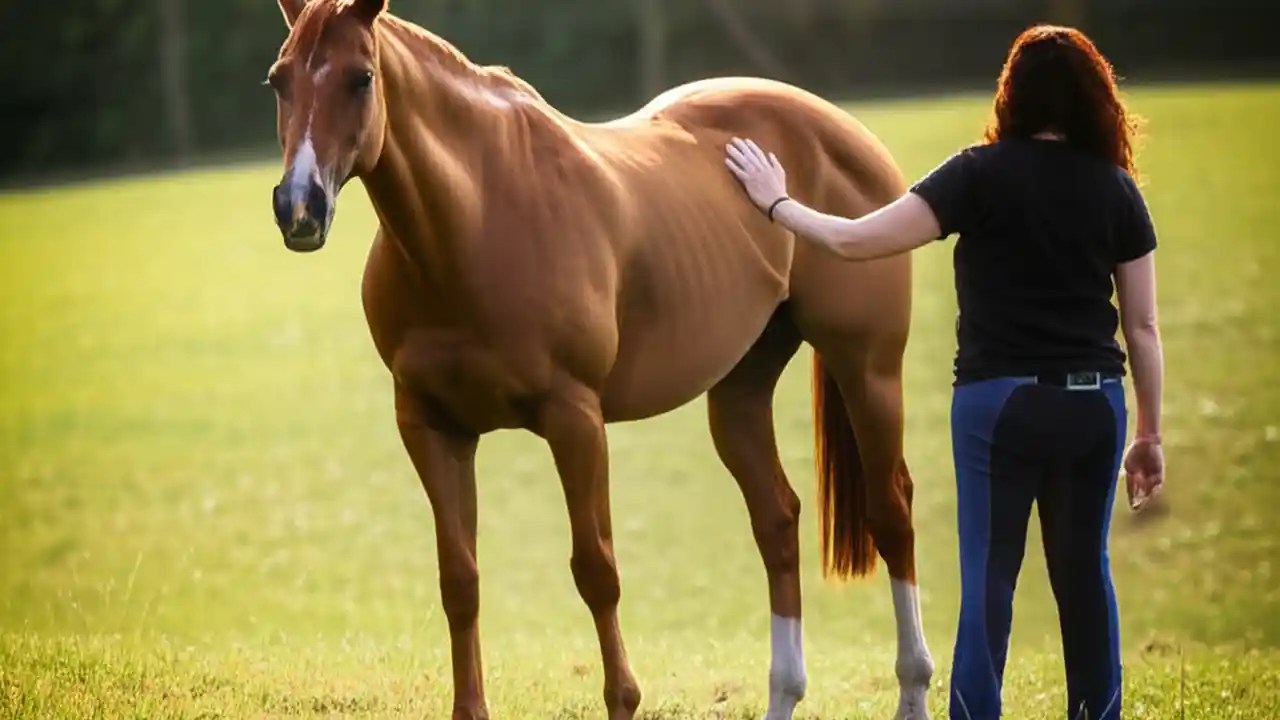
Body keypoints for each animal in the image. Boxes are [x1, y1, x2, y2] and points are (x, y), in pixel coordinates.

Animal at [265, 1, 933, 718]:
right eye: (279, 79)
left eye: (361, 78)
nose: (299, 207)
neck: (477, 220)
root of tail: (844, 129)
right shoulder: (430, 427)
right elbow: (460, 580)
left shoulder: (575, 420)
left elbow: (596, 570)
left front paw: (624, 696)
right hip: (740, 391)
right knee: (777, 521)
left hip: (867, 369)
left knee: (892, 513)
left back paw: (914, 687)